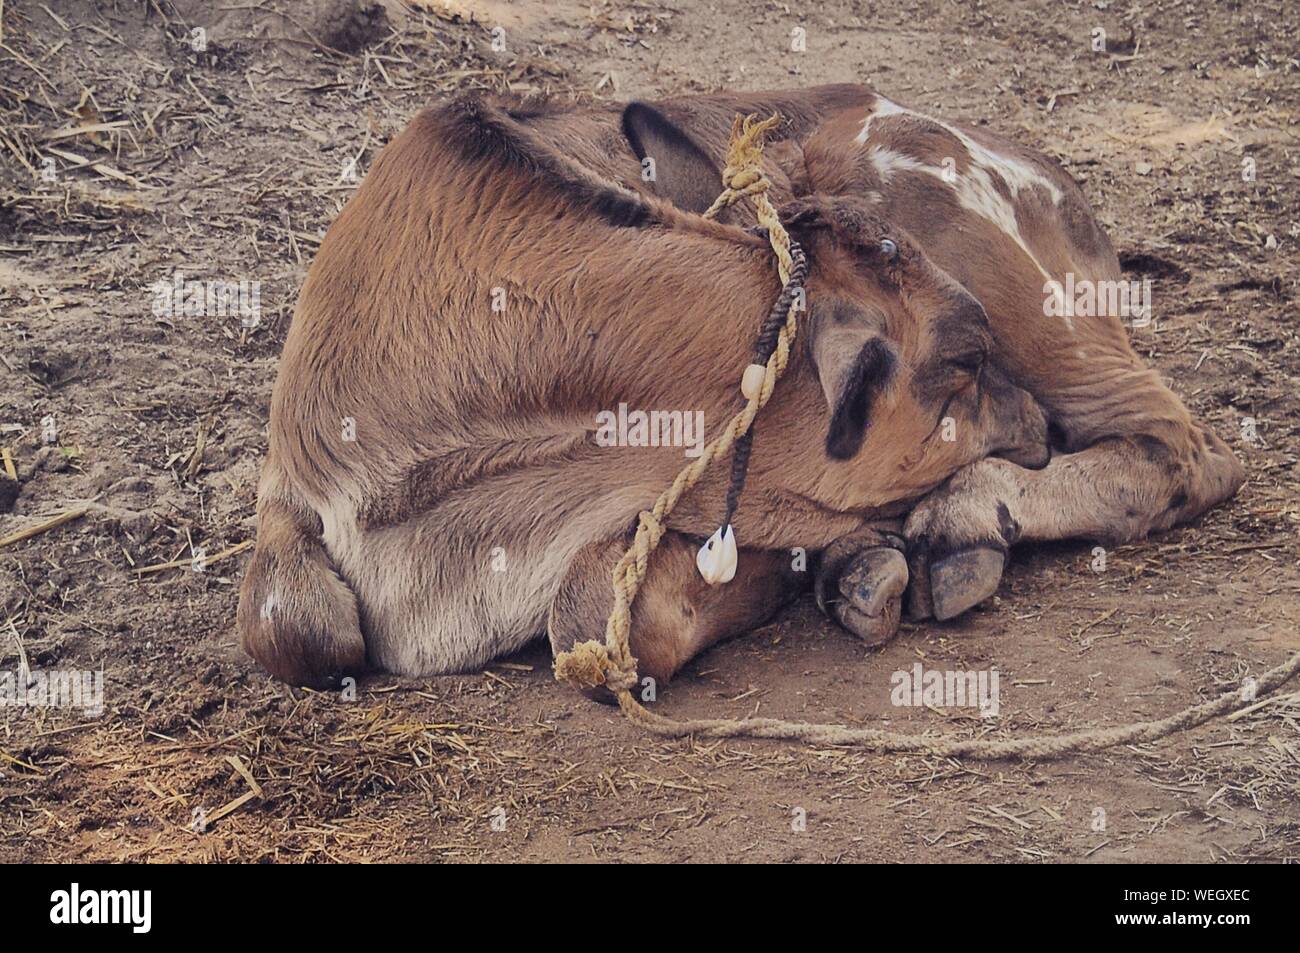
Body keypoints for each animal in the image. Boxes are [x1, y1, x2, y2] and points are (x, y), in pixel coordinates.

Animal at [237, 84, 1243, 693]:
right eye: (963, 355)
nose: (1029, 418)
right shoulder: (291, 496)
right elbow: (293, 627)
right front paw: (854, 560)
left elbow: (593, 612)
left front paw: (845, 557)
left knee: (1190, 452)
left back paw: (955, 526)